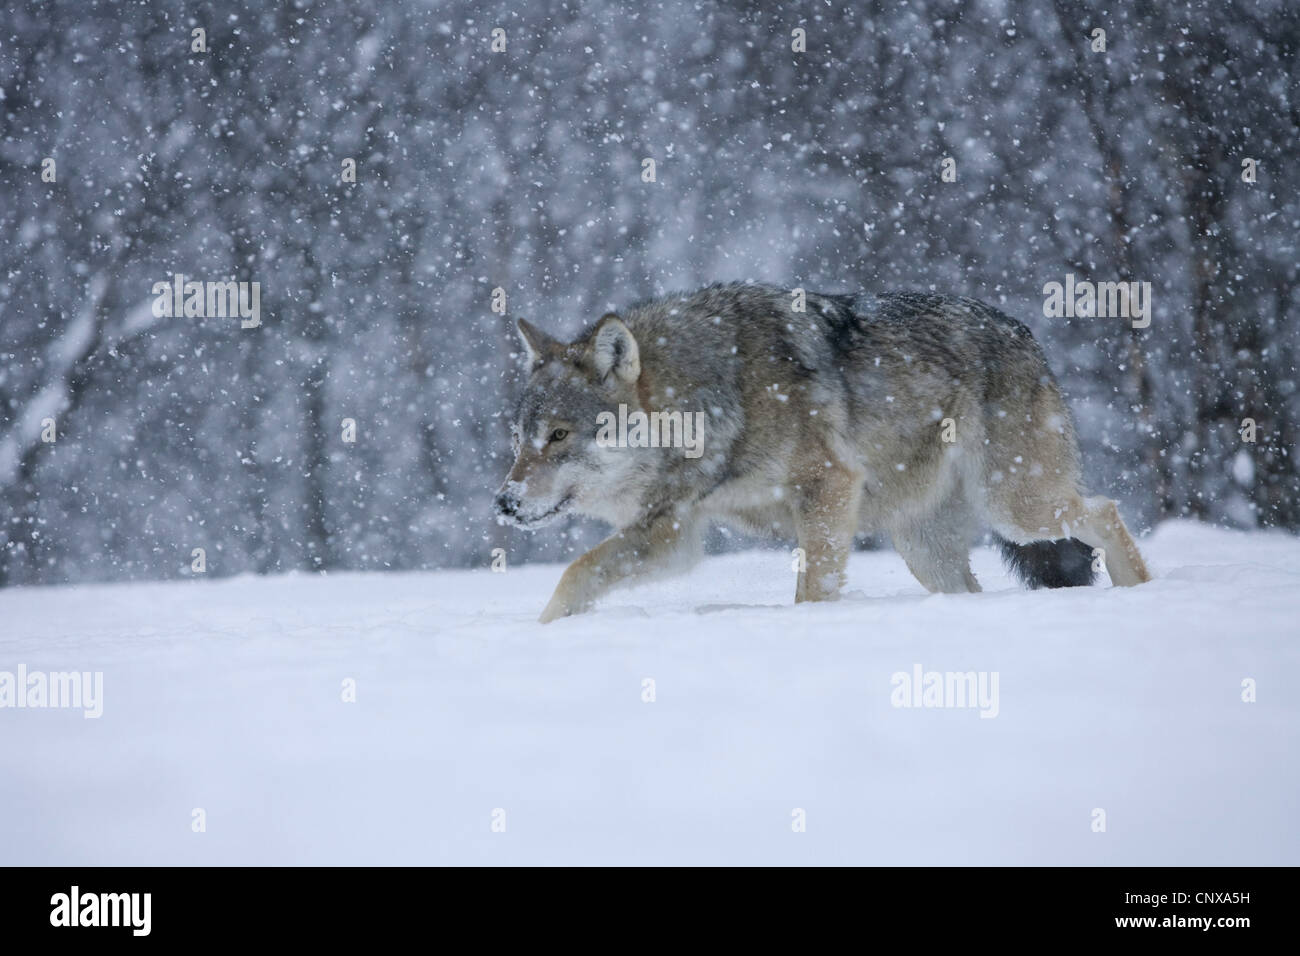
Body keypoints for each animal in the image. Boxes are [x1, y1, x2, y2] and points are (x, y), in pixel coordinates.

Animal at [495, 283, 1151, 623]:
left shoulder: (827, 486)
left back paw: (1140, 593)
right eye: (521, 438)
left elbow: (812, 590)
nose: (504, 502)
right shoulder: (672, 533)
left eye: (559, 436)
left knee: (1107, 510)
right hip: (925, 547)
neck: (714, 392)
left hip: (1014, 507)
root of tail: (1028, 335)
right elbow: (576, 574)